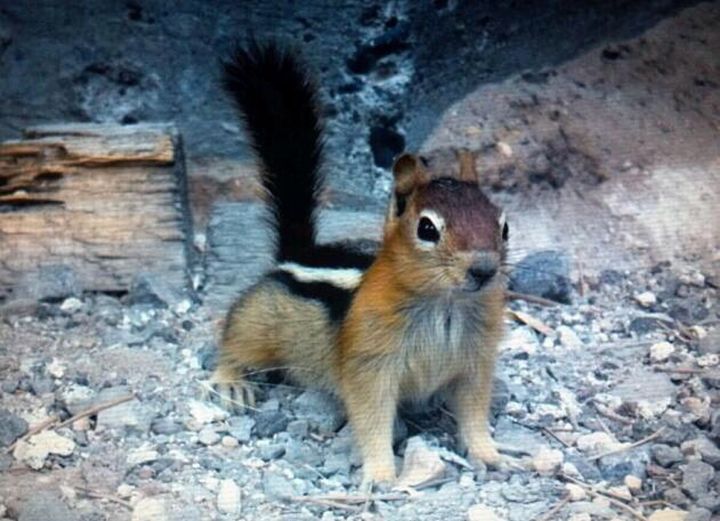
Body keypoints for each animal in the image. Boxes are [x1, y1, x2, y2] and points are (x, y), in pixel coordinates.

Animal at [210, 41, 511, 487]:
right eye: (426, 228)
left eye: (503, 226)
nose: (484, 269)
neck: (446, 305)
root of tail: (298, 253)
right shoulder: (371, 365)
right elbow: (372, 418)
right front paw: (381, 473)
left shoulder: (475, 362)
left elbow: (473, 413)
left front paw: (490, 454)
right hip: (258, 324)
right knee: (232, 342)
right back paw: (231, 382)